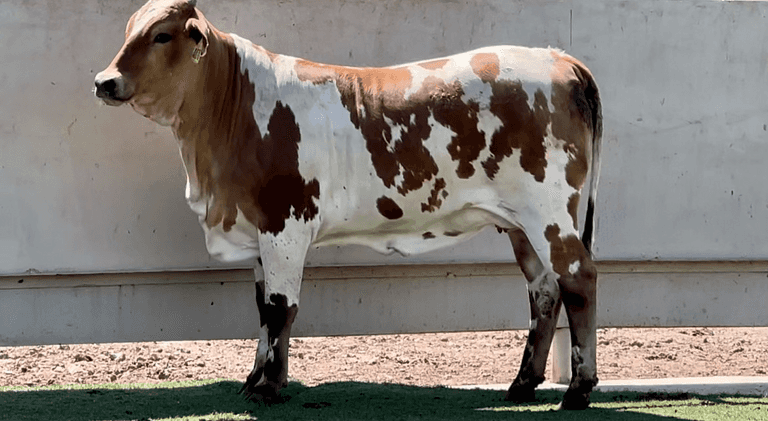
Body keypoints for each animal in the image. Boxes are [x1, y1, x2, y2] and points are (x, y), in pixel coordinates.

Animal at [94, 0, 602, 410]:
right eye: (129, 30)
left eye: (162, 35)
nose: (104, 81)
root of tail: (558, 58)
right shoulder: (260, 229)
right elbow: (262, 309)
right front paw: (255, 378)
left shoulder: (285, 223)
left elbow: (280, 307)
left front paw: (269, 387)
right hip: (520, 224)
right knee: (544, 290)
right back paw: (523, 384)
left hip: (550, 213)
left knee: (578, 279)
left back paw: (579, 389)